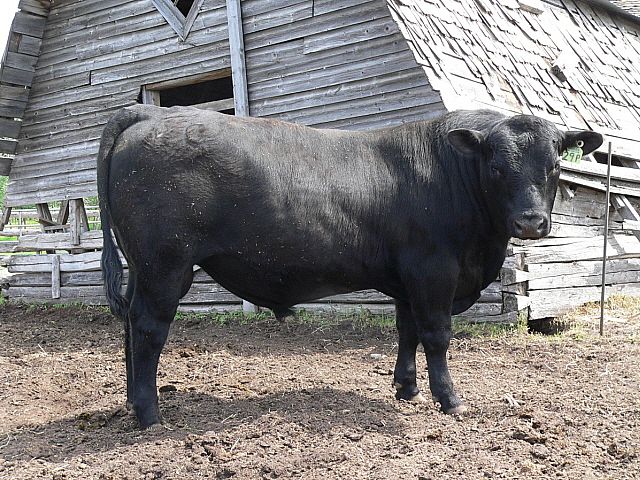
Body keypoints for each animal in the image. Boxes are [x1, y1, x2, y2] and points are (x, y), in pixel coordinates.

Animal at [98, 104, 603, 428]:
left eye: (555, 165)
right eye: (497, 167)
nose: (531, 221)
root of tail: (150, 114)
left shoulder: (407, 279)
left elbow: (407, 331)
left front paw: (406, 389)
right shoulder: (433, 270)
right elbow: (436, 335)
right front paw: (449, 399)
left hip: (143, 268)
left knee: (129, 328)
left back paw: (131, 401)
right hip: (165, 266)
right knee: (148, 329)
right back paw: (149, 415)